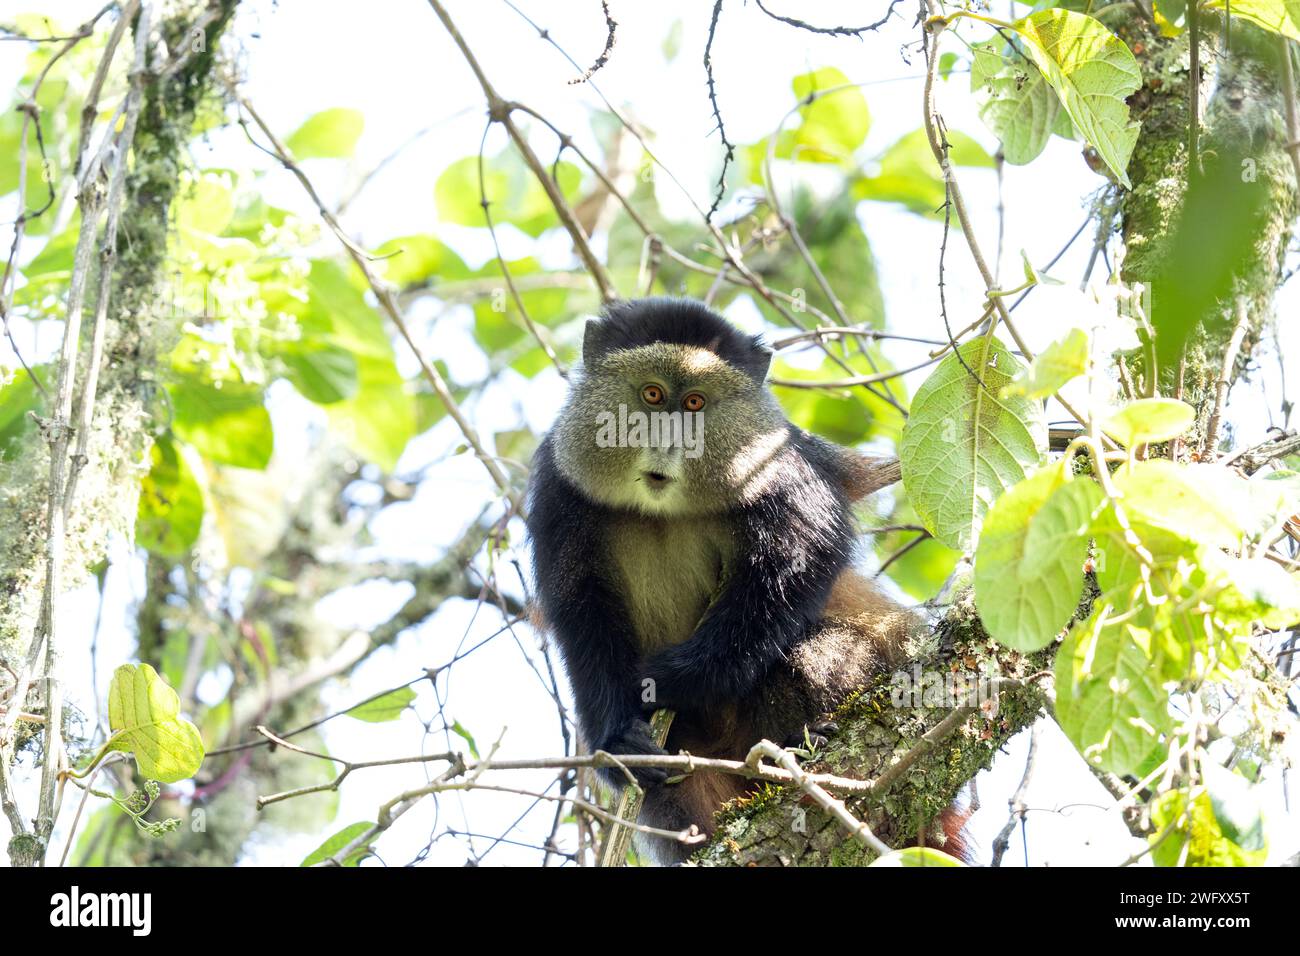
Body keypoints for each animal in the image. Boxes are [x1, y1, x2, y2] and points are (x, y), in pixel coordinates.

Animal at [526, 297, 929, 865]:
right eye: (653, 395)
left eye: (696, 403)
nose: (669, 443)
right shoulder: (559, 495)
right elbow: (582, 615)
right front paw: (618, 740)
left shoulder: (781, 469)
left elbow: (800, 563)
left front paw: (675, 677)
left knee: (809, 647)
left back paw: (802, 745)